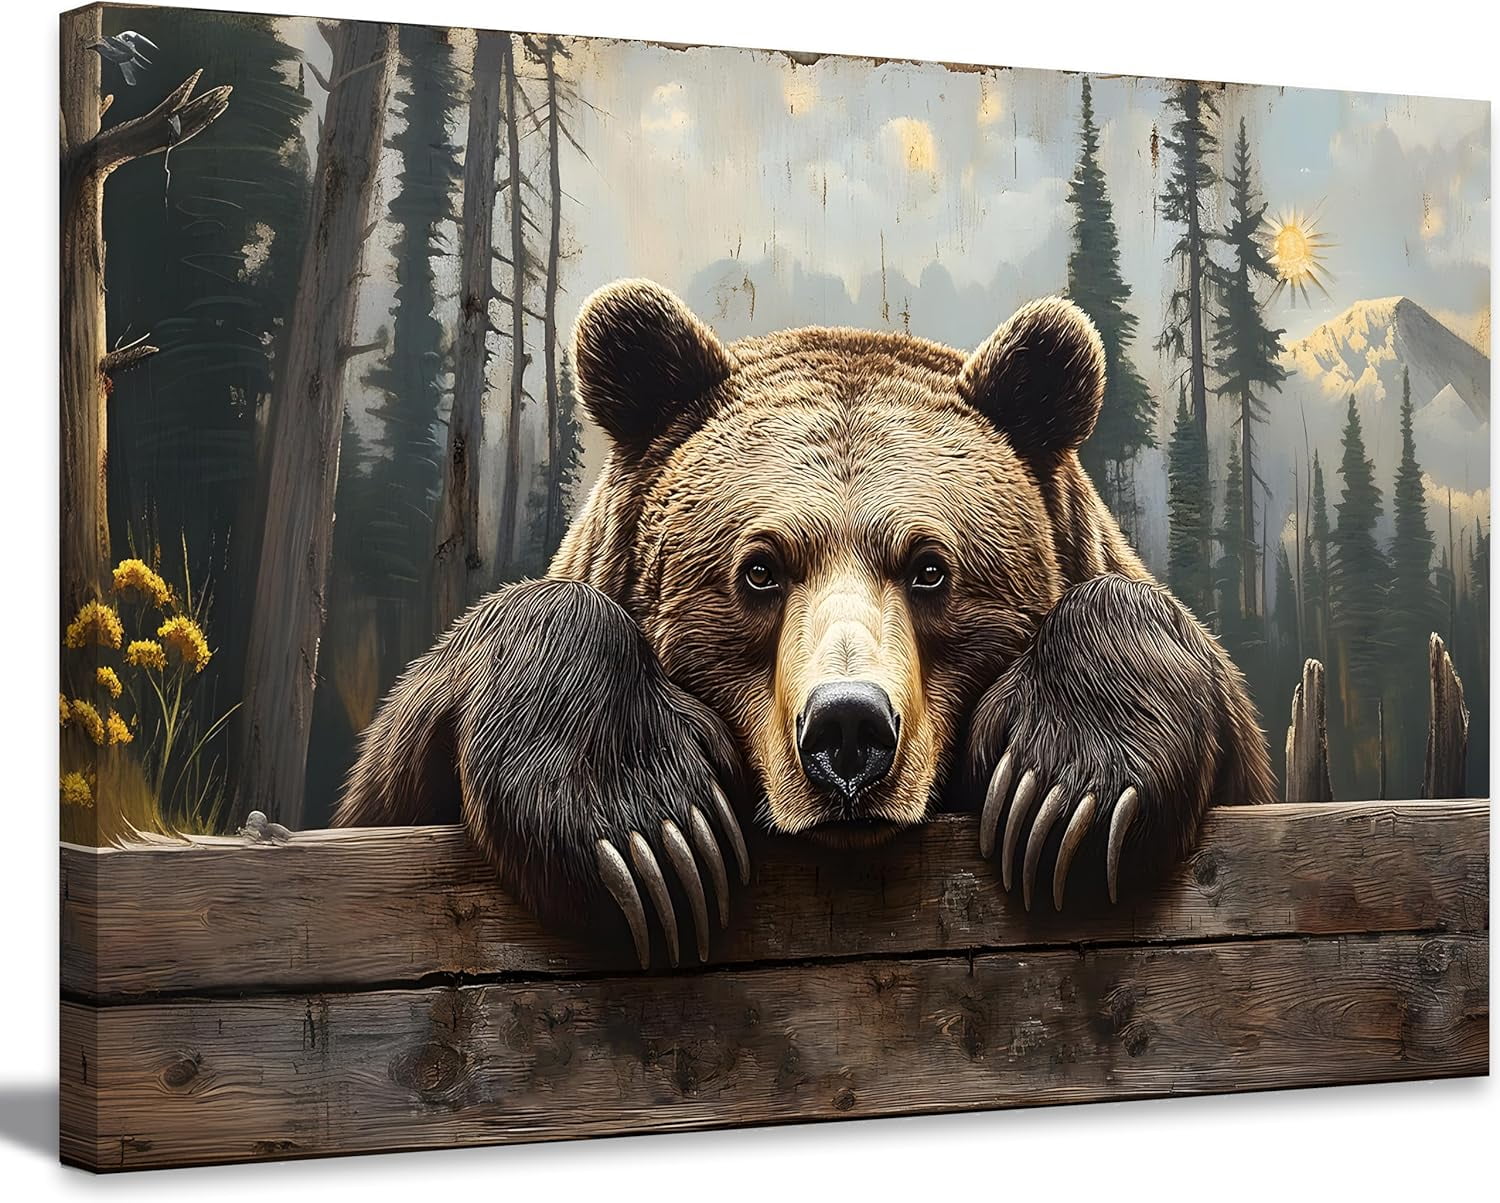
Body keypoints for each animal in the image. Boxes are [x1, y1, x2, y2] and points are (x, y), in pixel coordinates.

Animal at [334, 278, 1275, 968]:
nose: (848, 728)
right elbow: (396, 770)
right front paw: (648, 833)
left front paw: (1067, 794)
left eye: (930, 566)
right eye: (760, 568)